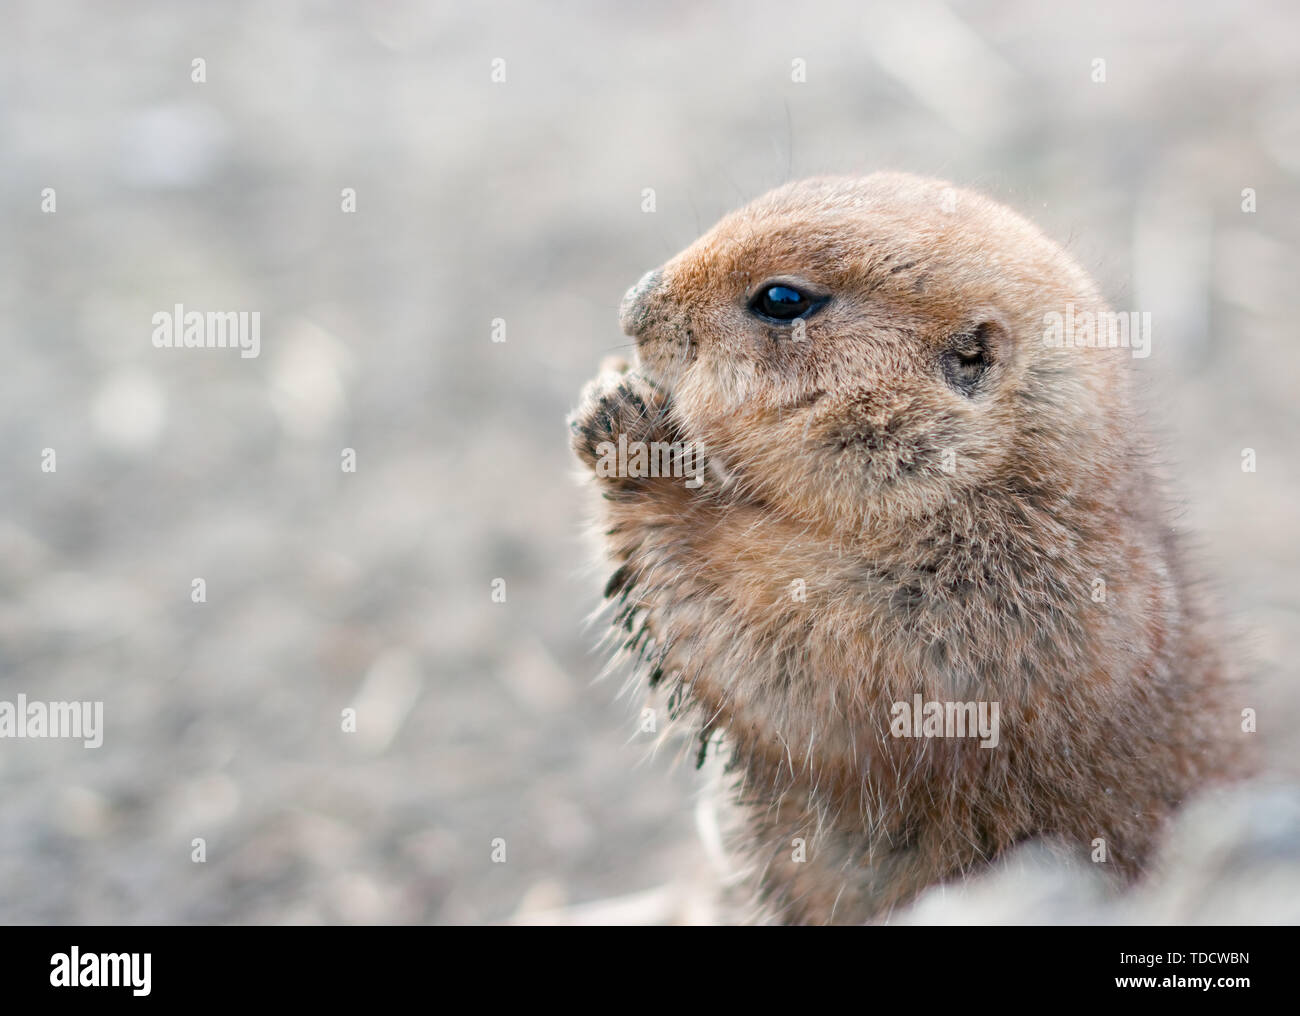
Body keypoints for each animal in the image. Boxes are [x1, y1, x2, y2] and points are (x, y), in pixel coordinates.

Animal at [568, 173, 1250, 924]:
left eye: (782, 300)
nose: (632, 306)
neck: (994, 485)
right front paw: (605, 385)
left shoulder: (977, 602)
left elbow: (786, 649)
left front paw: (630, 434)